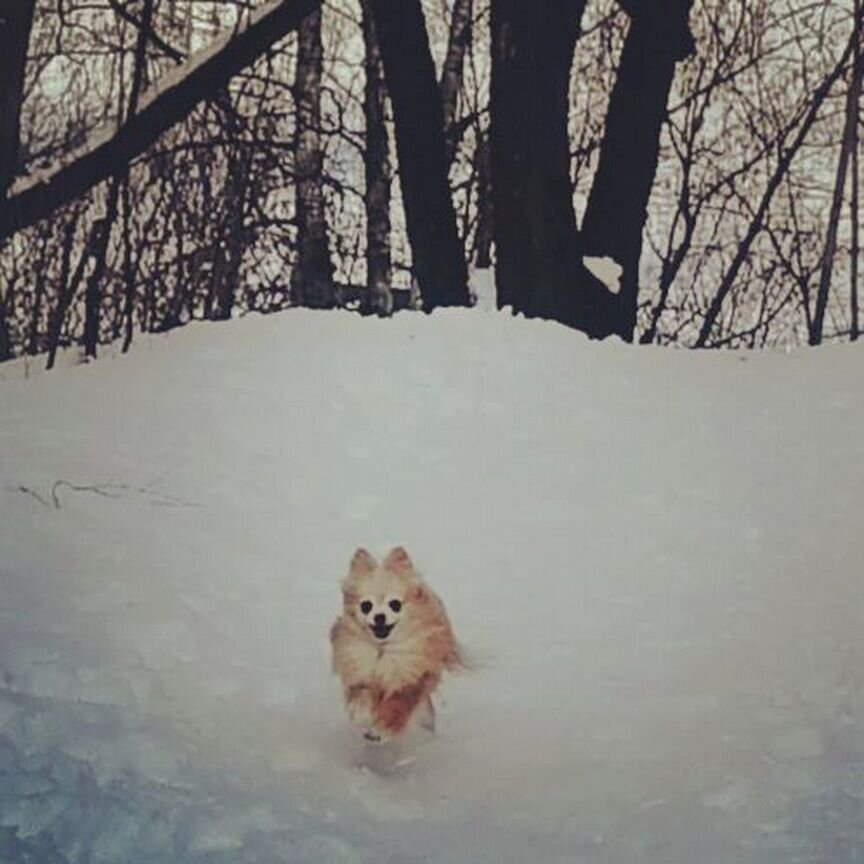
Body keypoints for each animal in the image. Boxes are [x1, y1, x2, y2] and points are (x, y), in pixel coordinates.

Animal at [332, 548, 466, 744]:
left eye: (394, 604)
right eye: (366, 606)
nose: (379, 616)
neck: (384, 651)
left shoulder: (414, 679)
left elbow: (399, 704)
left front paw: (382, 729)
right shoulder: (361, 673)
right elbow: (362, 693)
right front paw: (361, 712)